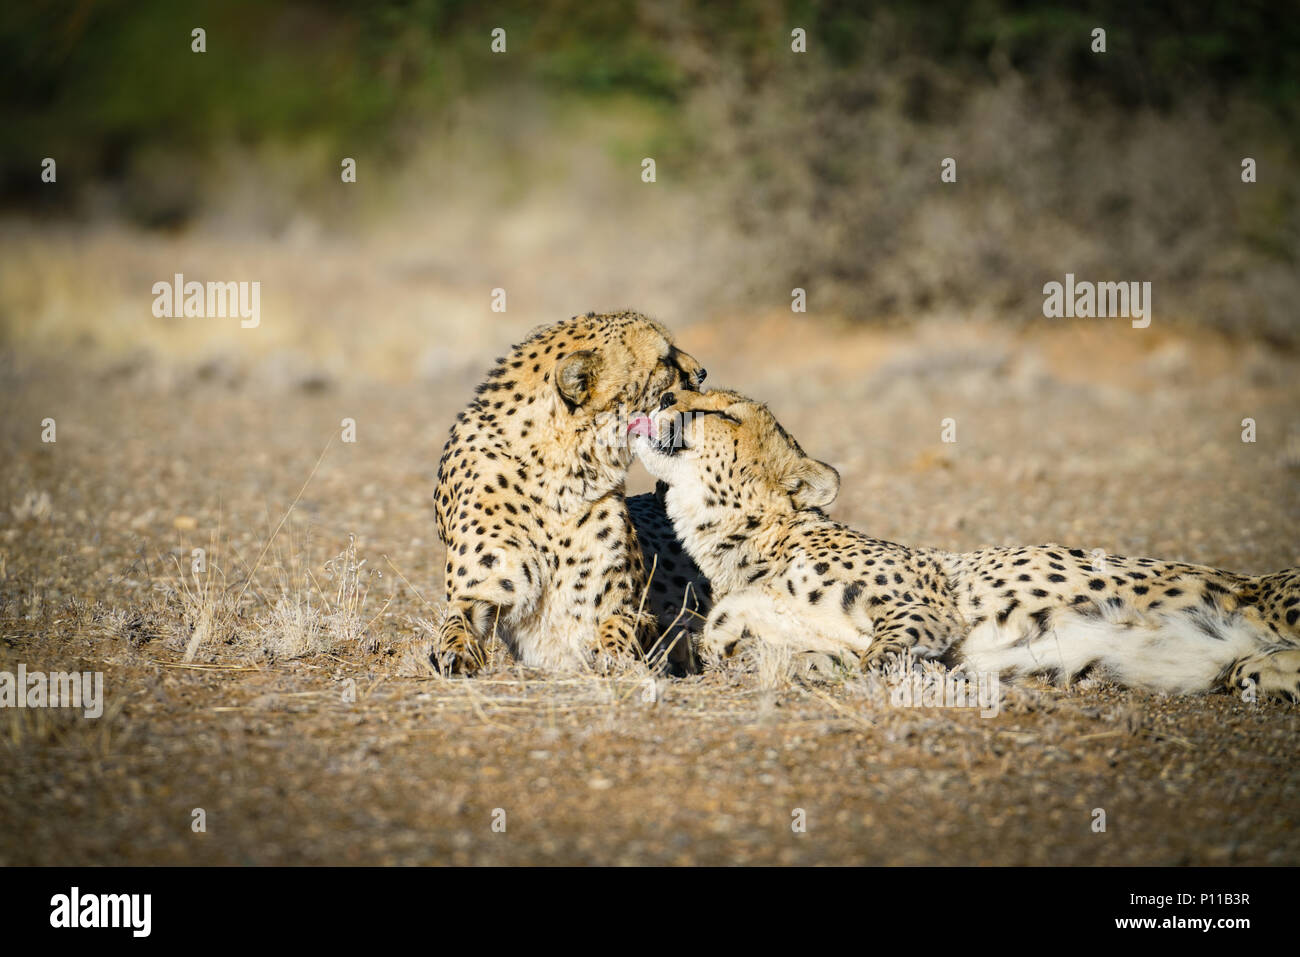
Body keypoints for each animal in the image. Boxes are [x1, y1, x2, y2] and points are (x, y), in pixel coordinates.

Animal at [432, 310, 706, 675]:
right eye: (665, 359)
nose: (702, 373)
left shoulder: (629, 607)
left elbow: (620, 628)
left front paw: (612, 654)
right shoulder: (479, 594)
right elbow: (454, 626)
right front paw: (454, 654)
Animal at [630, 388, 1300, 701]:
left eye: (725, 414)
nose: (661, 397)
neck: (740, 549)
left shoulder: (927, 607)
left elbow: (885, 652)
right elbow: (781, 653)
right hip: (1245, 666)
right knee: (1252, 671)